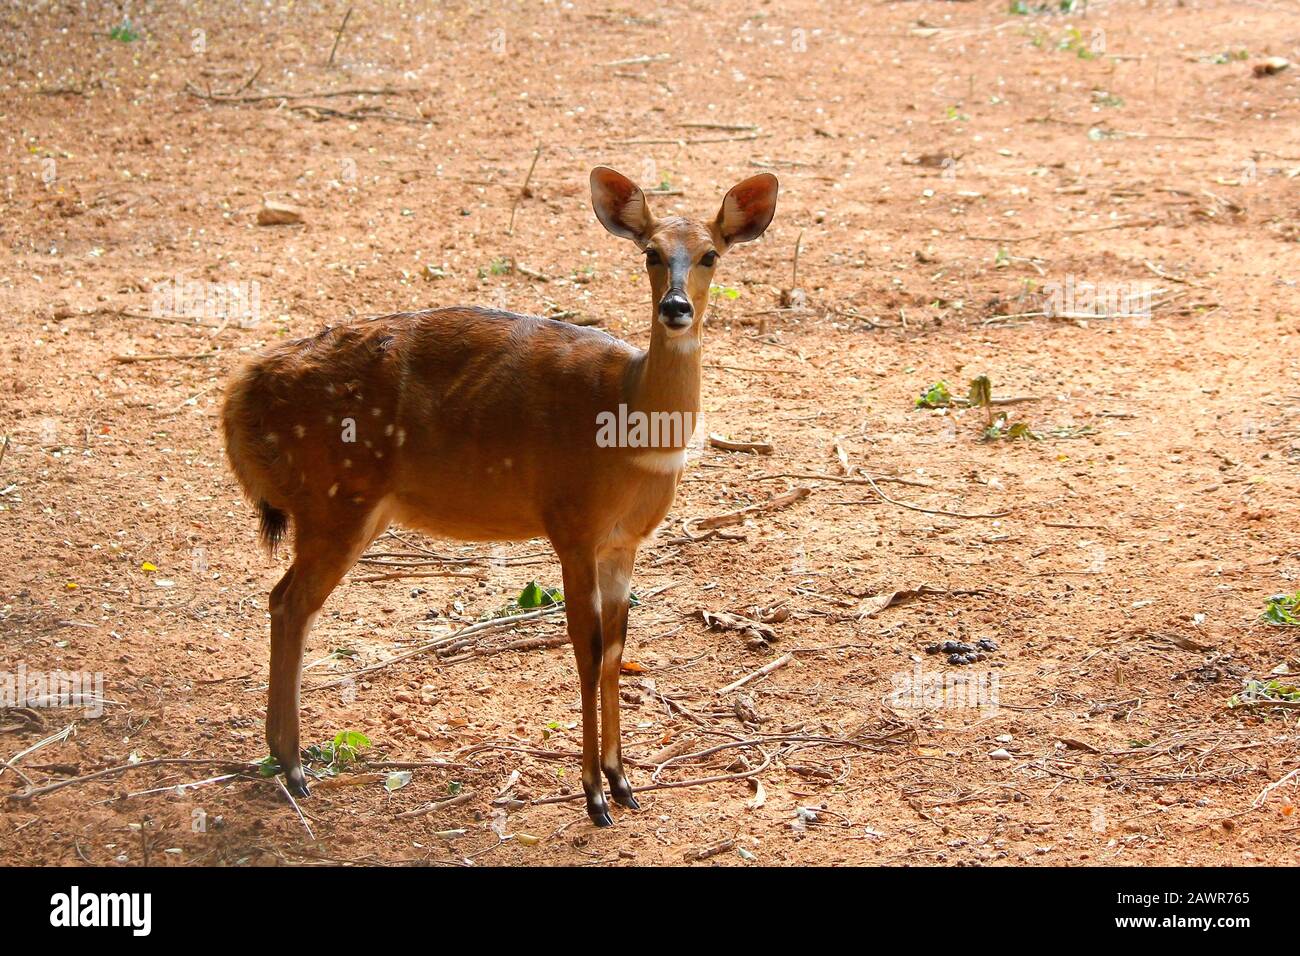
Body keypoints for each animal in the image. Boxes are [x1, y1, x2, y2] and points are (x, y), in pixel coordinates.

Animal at [221, 167, 778, 826]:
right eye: (651, 253)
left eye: (711, 254)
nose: (675, 307)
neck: (630, 421)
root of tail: (240, 392)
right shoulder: (570, 523)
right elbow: (586, 646)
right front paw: (593, 797)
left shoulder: (624, 542)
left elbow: (617, 648)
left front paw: (623, 783)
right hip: (335, 501)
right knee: (290, 602)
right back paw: (294, 768)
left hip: (343, 508)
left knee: (285, 599)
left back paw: (284, 760)